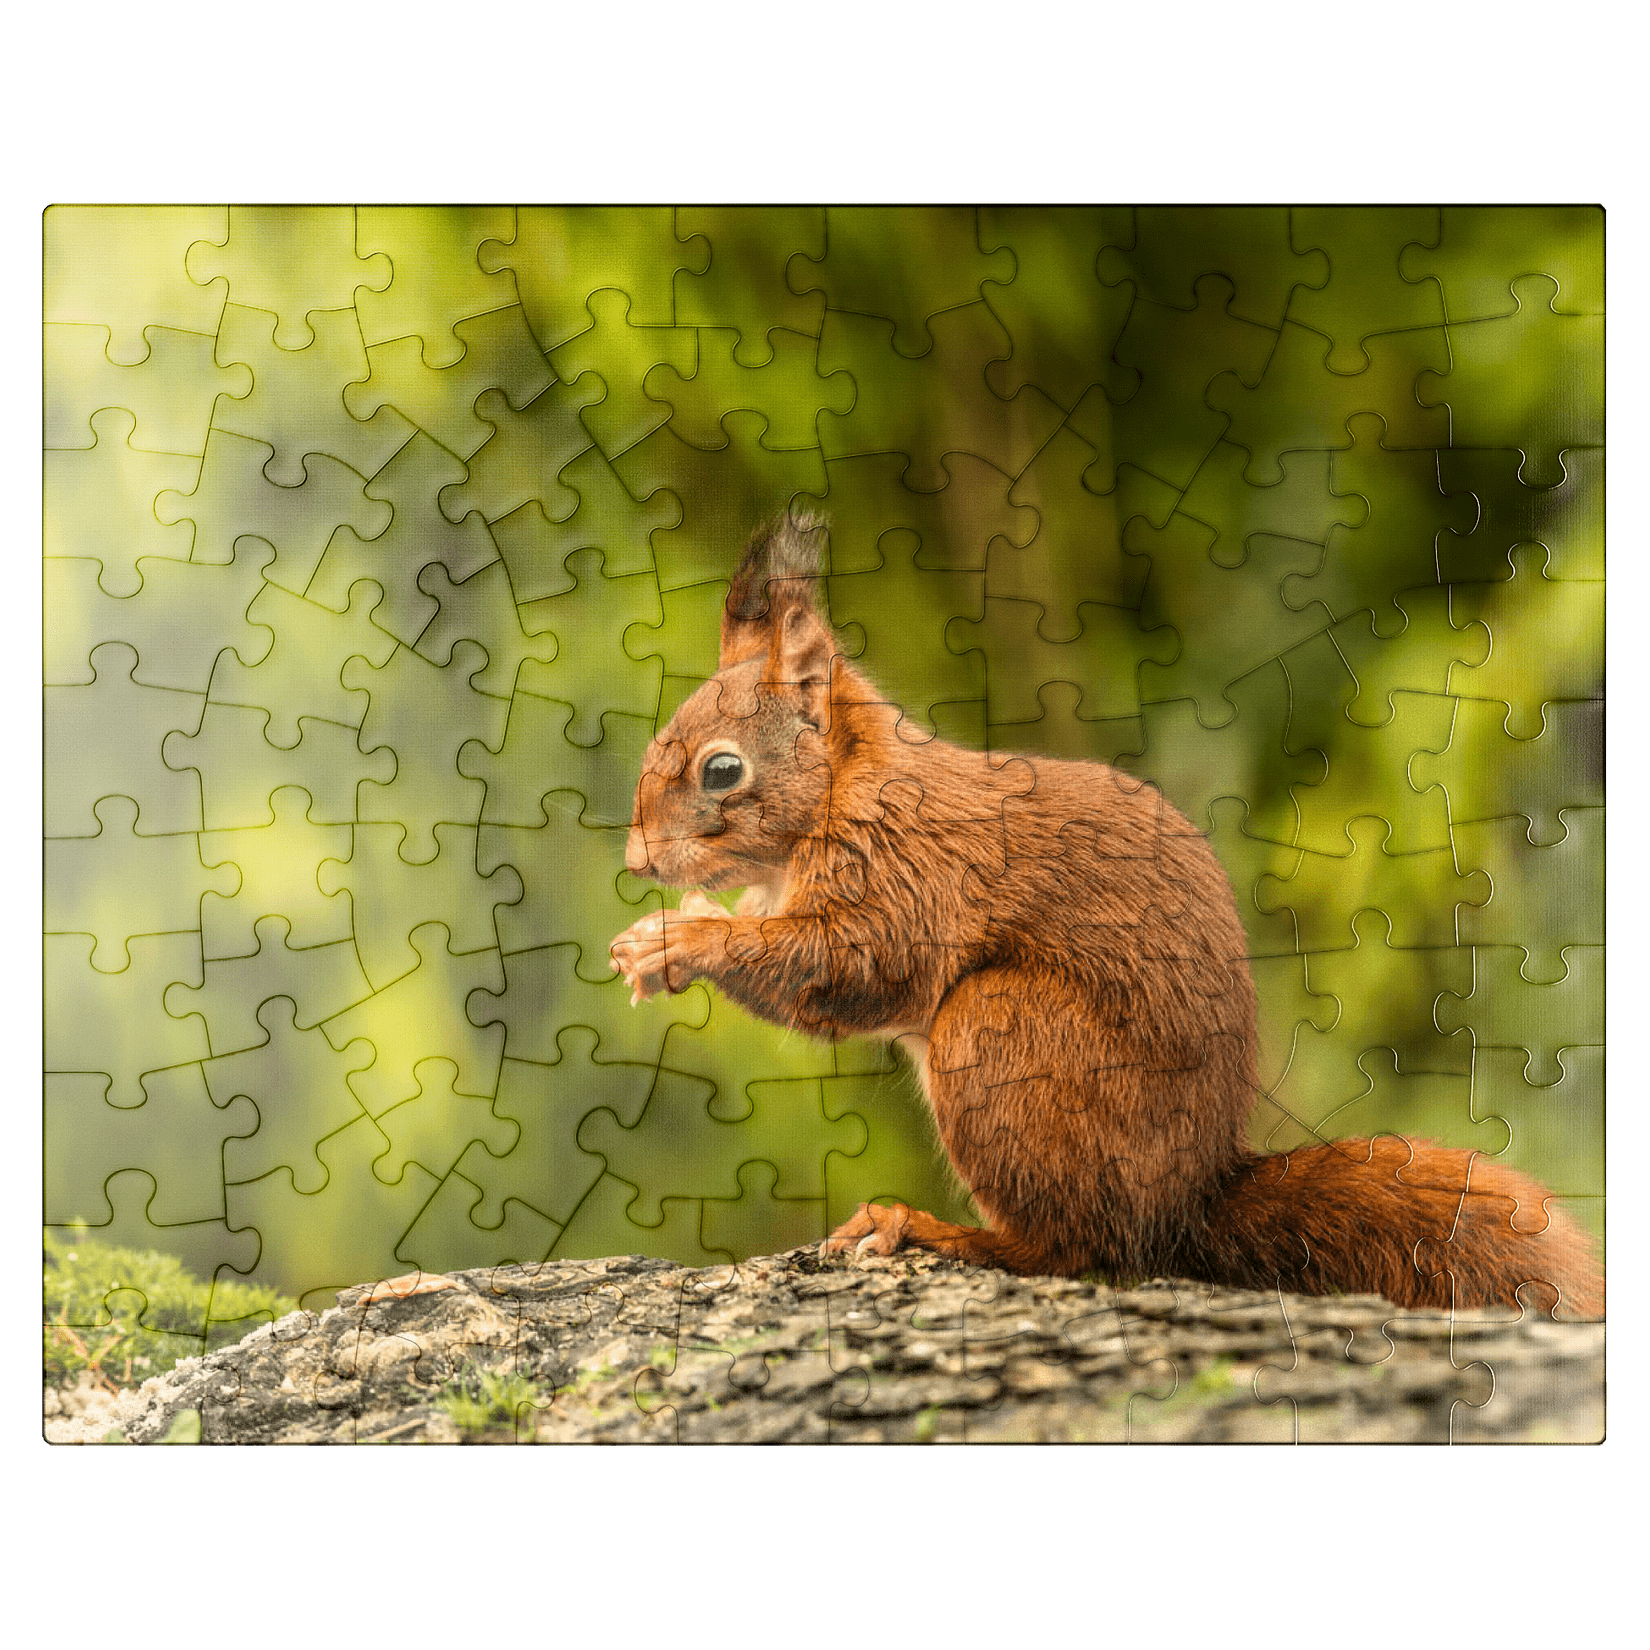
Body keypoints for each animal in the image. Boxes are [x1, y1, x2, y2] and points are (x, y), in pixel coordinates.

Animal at [609, 508, 1603, 1317]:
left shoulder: (907, 869)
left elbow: (858, 967)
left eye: (722, 769)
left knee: (1069, 1250)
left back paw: (934, 1230)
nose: (637, 860)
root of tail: (1184, 1205)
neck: (842, 789)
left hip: (1002, 1035)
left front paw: (682, 940)